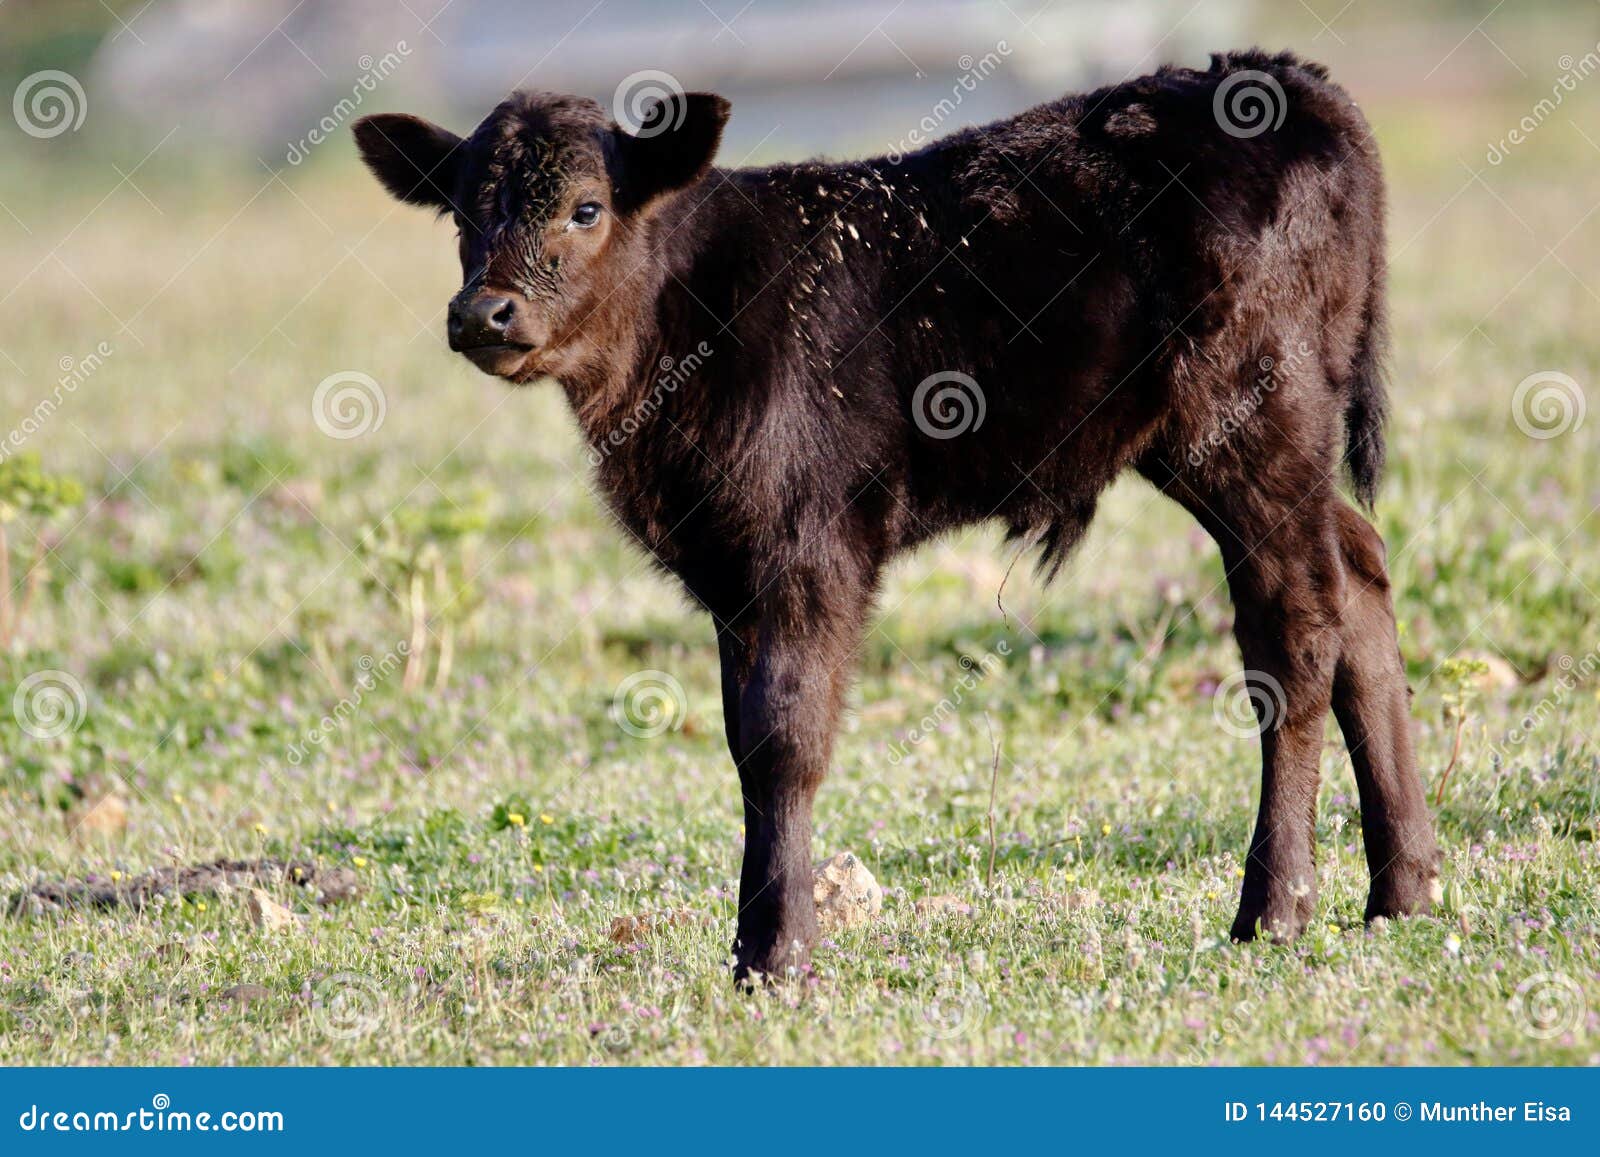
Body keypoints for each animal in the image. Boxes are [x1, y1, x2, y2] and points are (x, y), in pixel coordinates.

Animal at [353, 49, 1440, 983]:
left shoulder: (809, 547)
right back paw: (1401, 890)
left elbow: (784, 738)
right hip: (1227, 451)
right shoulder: (731, 568)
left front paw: (778, 955)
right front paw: (754, 943)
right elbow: (742, 743)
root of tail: (1280, 77)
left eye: (586, 207)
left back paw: (1274, 907)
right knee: (1359, 575)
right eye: (461, 213)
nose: (481, 313)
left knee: (1294, 627)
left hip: (1251, 426)